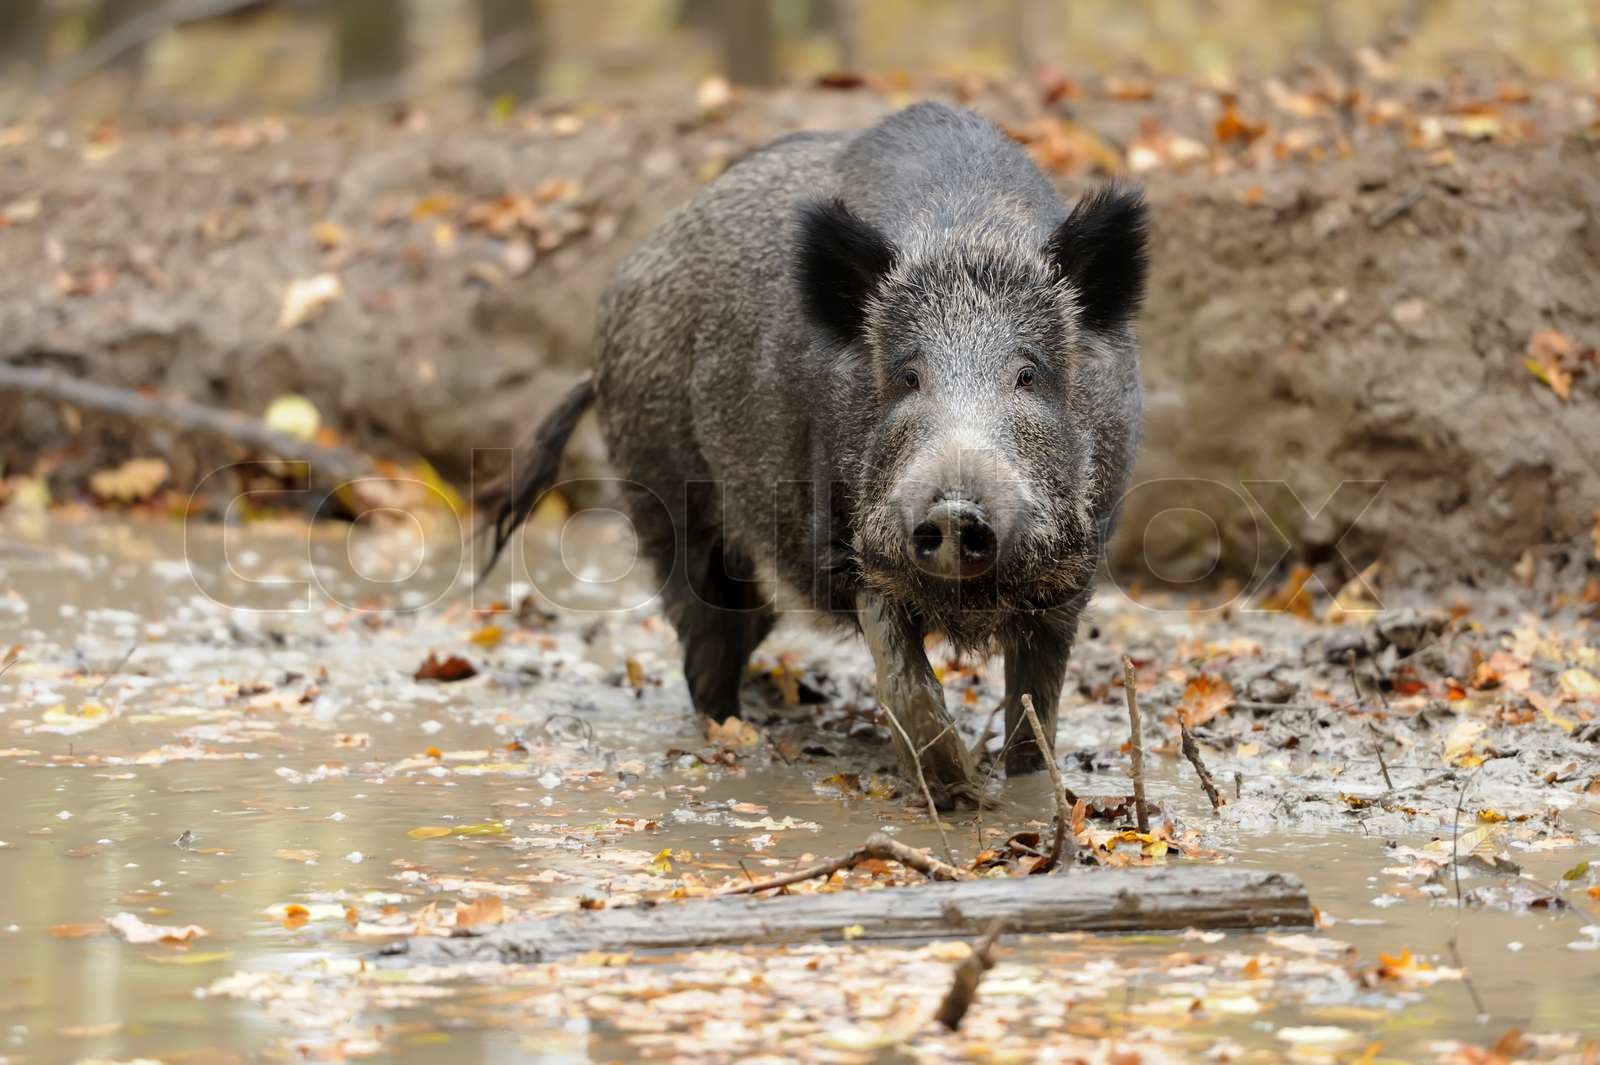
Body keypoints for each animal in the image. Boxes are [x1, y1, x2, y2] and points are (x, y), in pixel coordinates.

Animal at [482, 102, 1147, 807]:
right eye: (907, 376)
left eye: (1028, 374)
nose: (954, 511)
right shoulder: (844, 539)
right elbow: (904, 682)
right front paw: (959, 795)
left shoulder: (1077, 567)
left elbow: (1036, 711)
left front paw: (1015, 794)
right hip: (667, 494)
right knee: (704, 641)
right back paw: (734, 738)